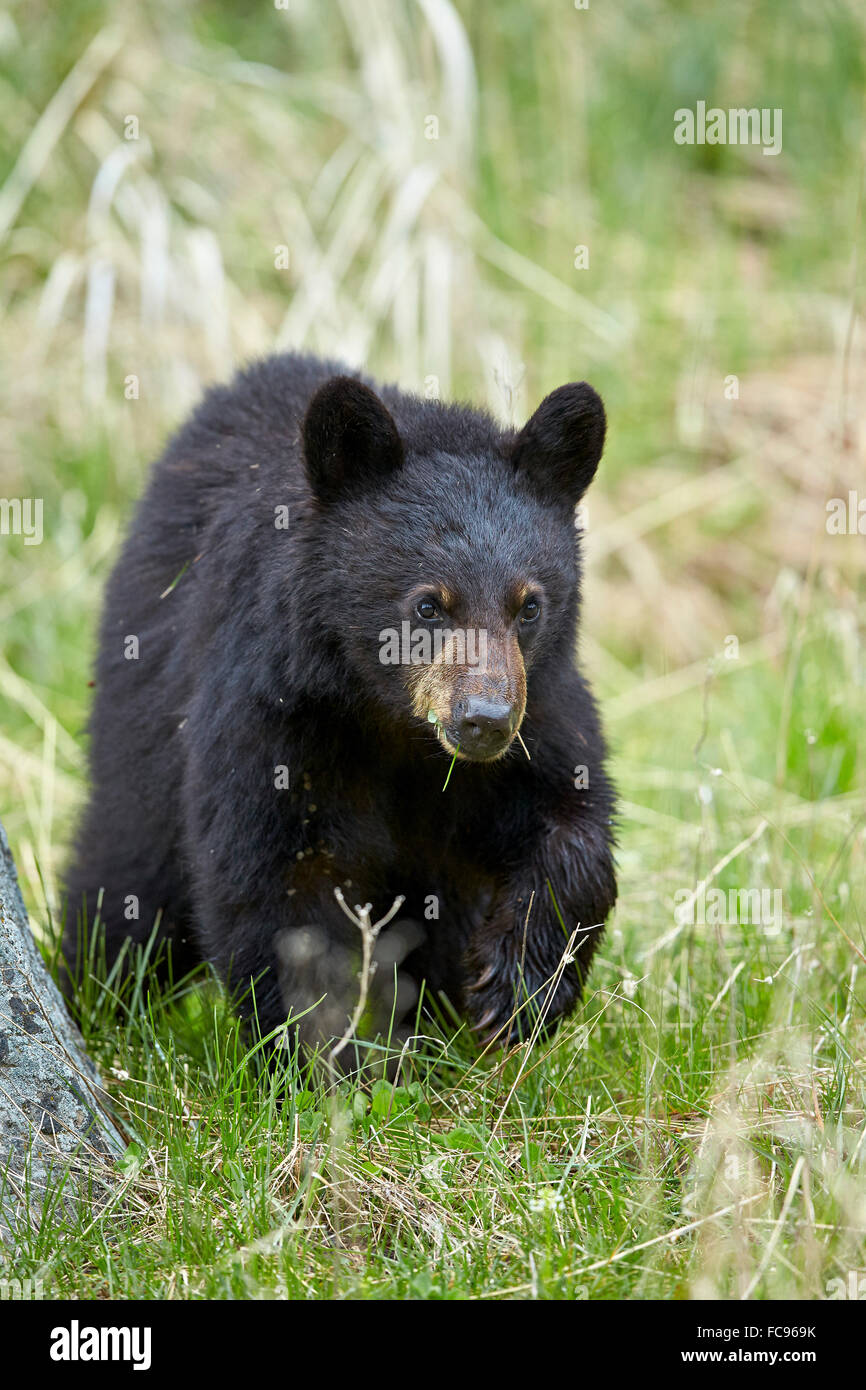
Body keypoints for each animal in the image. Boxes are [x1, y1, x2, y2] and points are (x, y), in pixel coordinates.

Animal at [62, 352, 617, 1055]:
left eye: (530, 605)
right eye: (428, 604)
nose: (484, 722)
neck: (394, 724)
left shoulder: (540, 706)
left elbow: (572, 817)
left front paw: (516, 986)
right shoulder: (279, 714)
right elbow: (279, 887)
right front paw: (327, 1056)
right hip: (142, 726)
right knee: (127, 879)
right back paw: (98, 1001)